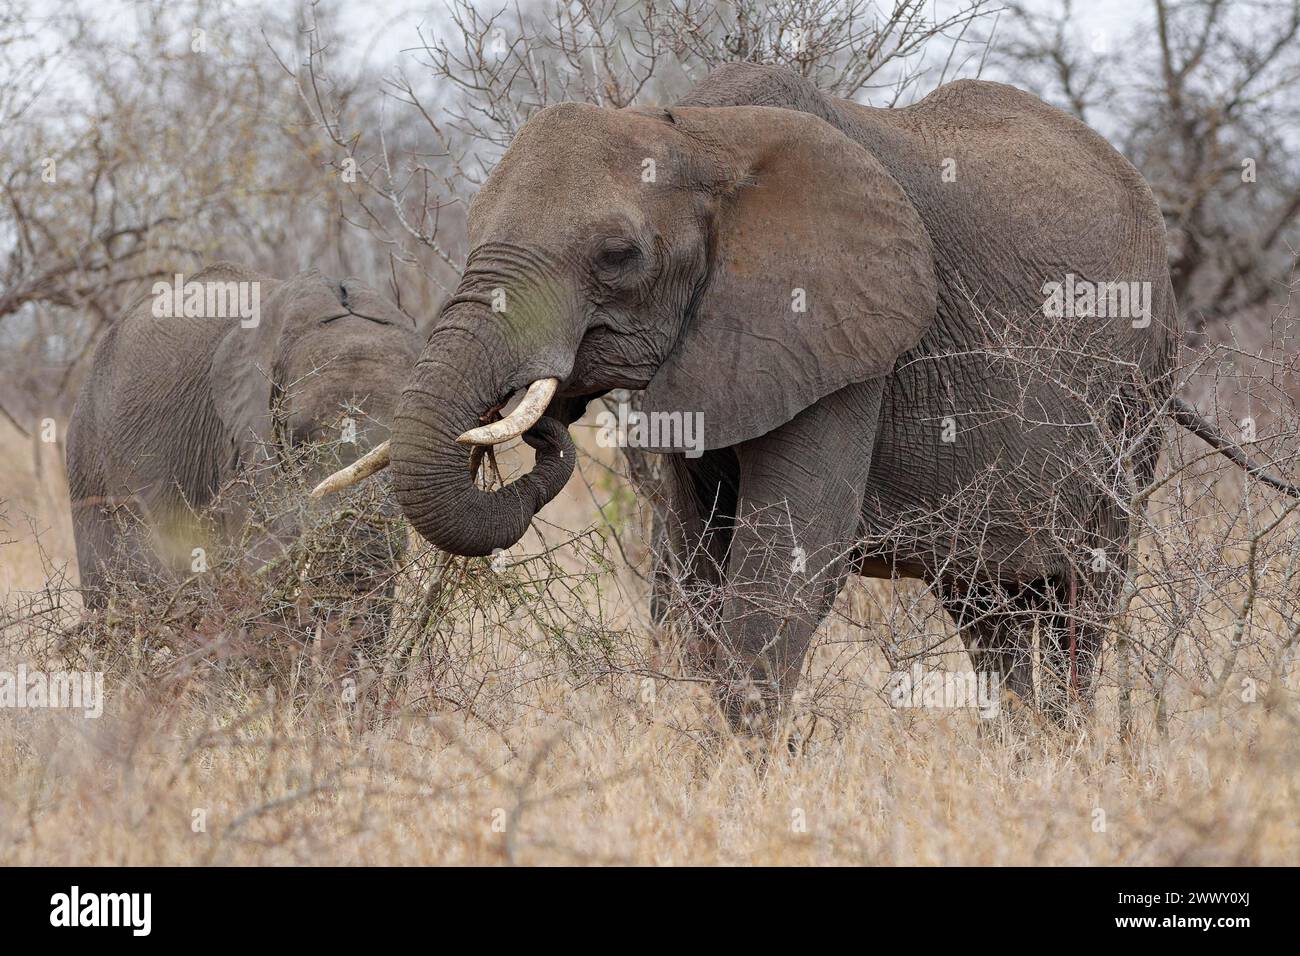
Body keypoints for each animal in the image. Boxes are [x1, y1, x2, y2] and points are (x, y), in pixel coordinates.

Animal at [316, 64, 1296, 729]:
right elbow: (688, 581)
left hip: (1138, 389)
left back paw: (1067, 753)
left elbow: (780, 574)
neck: (700, 133)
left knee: (1081, 598)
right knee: (989, 609)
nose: (547, 427)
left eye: (618, 256)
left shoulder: (847, 338)